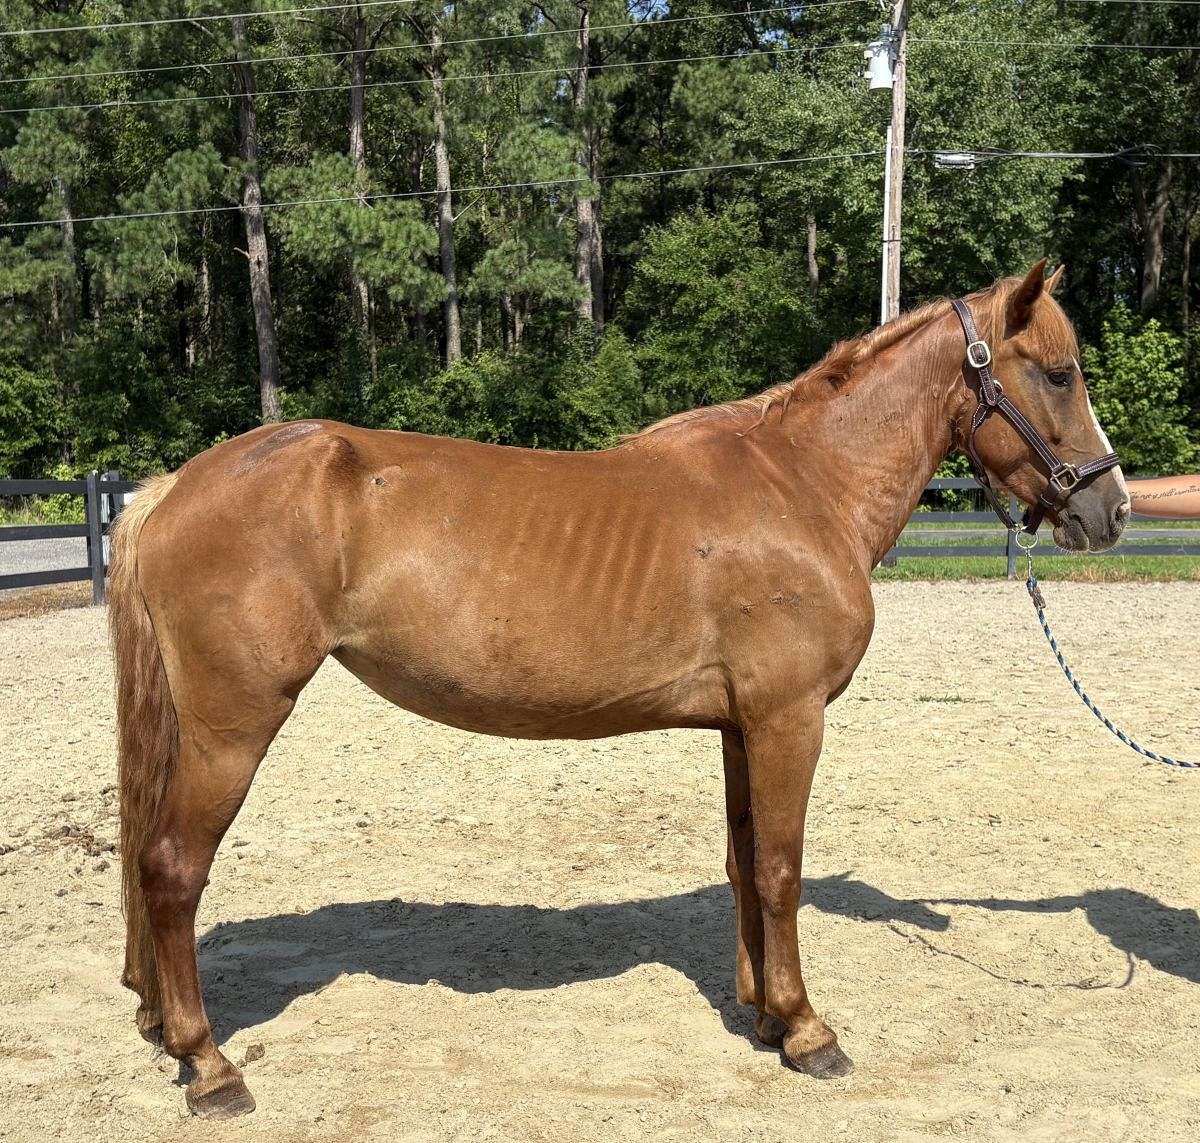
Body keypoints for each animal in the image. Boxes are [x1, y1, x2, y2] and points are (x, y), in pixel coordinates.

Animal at [109, 260, 1130, 1117]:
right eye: (1060, 374)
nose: (1110, 509)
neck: (804, 487)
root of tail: (172, 487)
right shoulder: (788, 719)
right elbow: (782, 868)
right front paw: (808, 1030)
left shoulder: (741, 726)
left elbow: (743, 862)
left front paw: (763, 1013)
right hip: (233, 727)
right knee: (171, 868)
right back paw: (208, 1064)